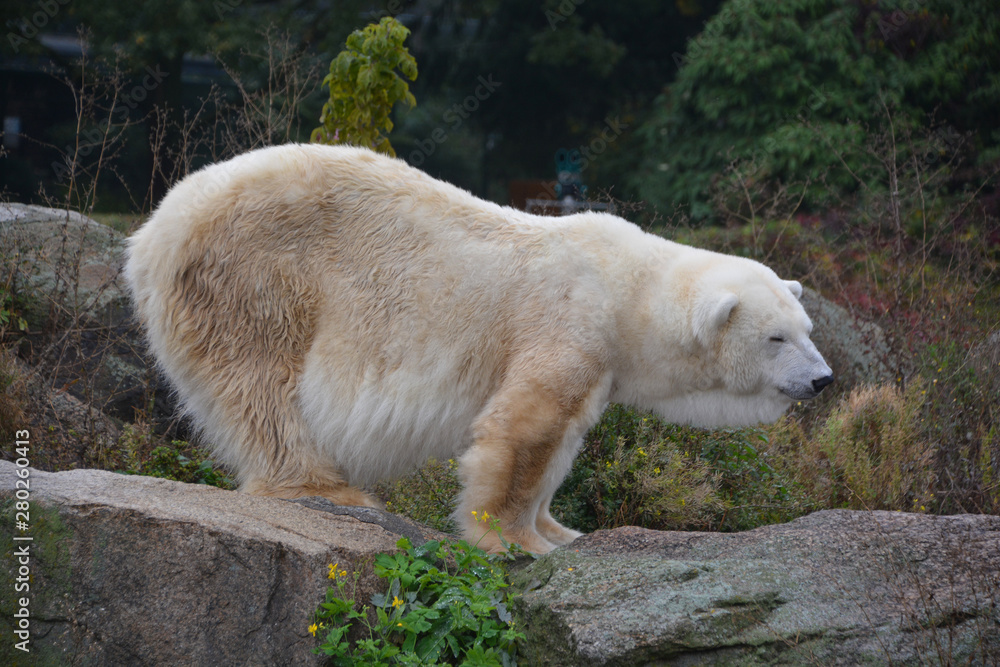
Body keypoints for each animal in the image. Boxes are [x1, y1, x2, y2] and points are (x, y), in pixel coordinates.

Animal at [125, 143, 833, 554]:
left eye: (807, 328)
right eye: (776, 337)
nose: (823, 379)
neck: (627, 289)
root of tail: (152, 234)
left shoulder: (601, 361)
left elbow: (565, 439)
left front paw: (561, 530)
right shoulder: (567, 322)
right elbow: (527, 427)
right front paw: (513, 540)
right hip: (255, 278)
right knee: (263, 384)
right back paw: (327, 488)